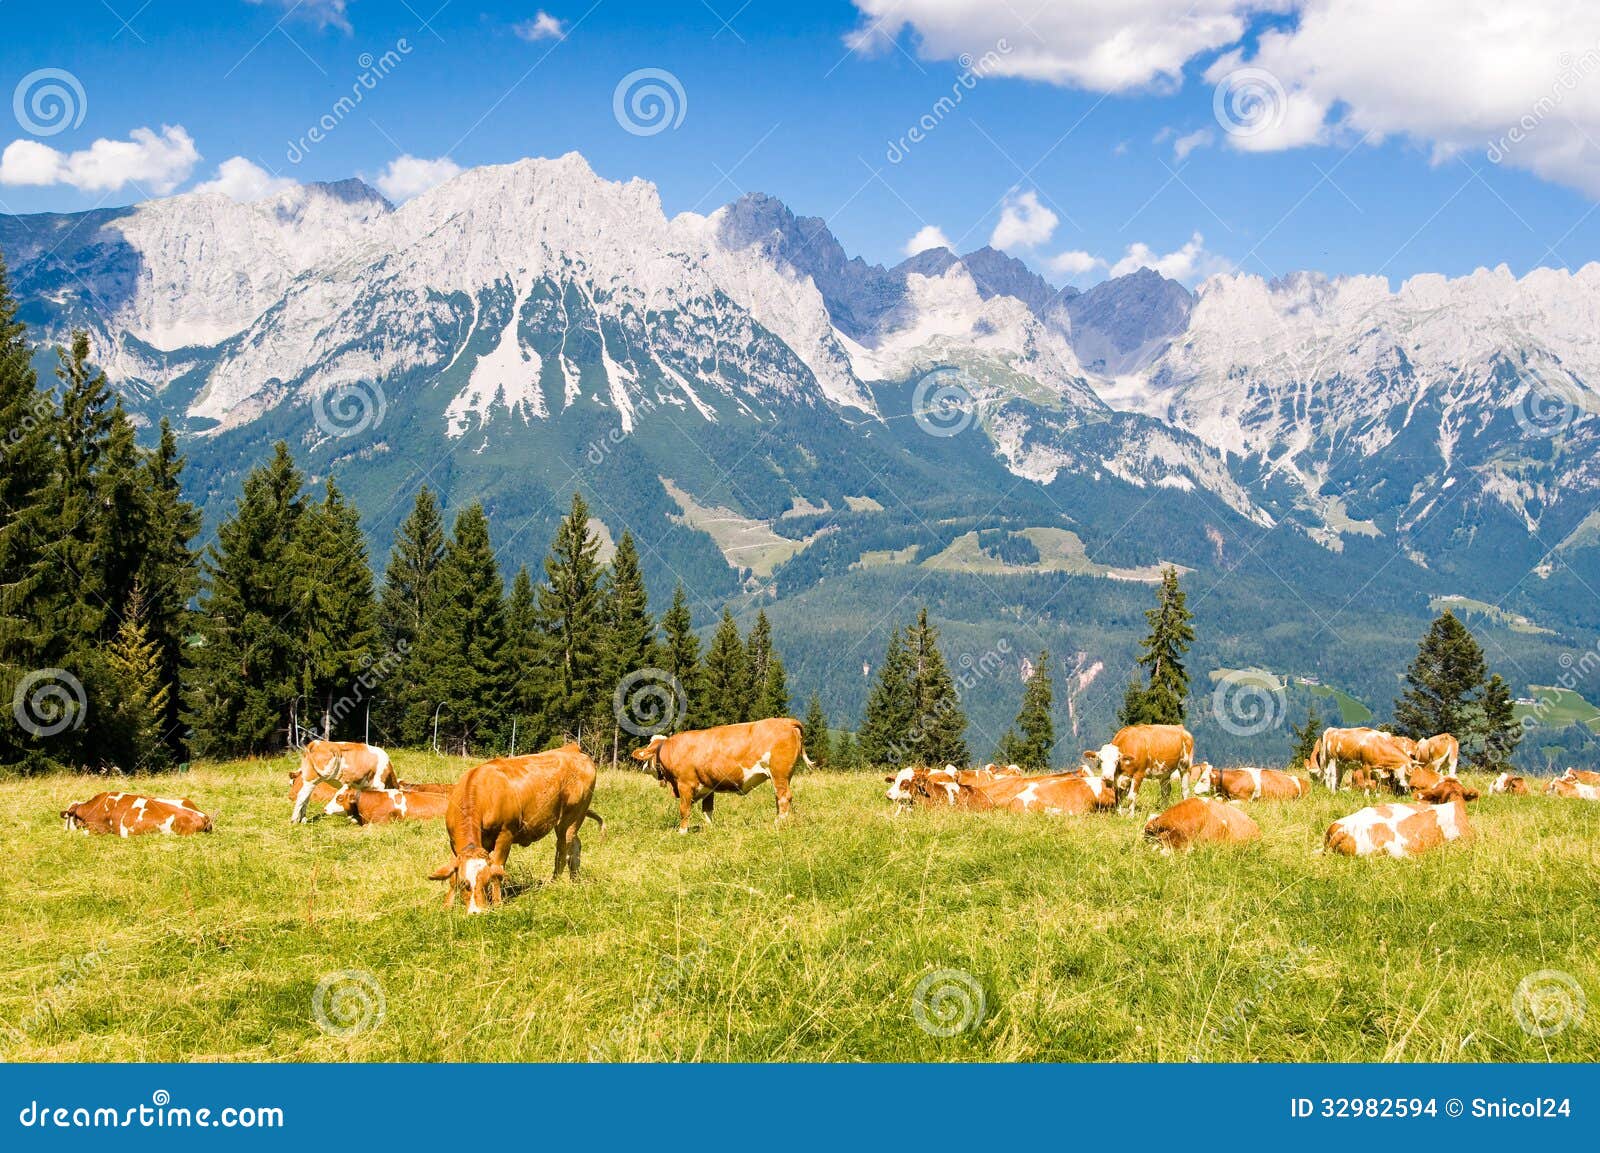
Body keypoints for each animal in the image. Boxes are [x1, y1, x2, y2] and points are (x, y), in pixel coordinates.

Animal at [427, 743, 603, 913]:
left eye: (486, 882)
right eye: (465, 883)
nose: (478, 912)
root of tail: (572, 748)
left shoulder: (506, 834)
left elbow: (498, 868)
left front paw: (497, 904)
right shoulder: (453, 843)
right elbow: (452, 877)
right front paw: (446, 906)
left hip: (571, 817)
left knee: (562, 849)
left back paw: (555, 883)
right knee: (575, 845)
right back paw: (575, 879)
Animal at [631, 717, 809, 832]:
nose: (643, 767)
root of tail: (786, 721)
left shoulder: (685, 784)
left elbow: (684, 810)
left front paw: (682, 832)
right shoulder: (708, 786)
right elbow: (707, 809)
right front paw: (710, 829)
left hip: (779, 774)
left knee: (784, 797)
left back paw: (777, 824)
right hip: (782, 777)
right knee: (779, 798)